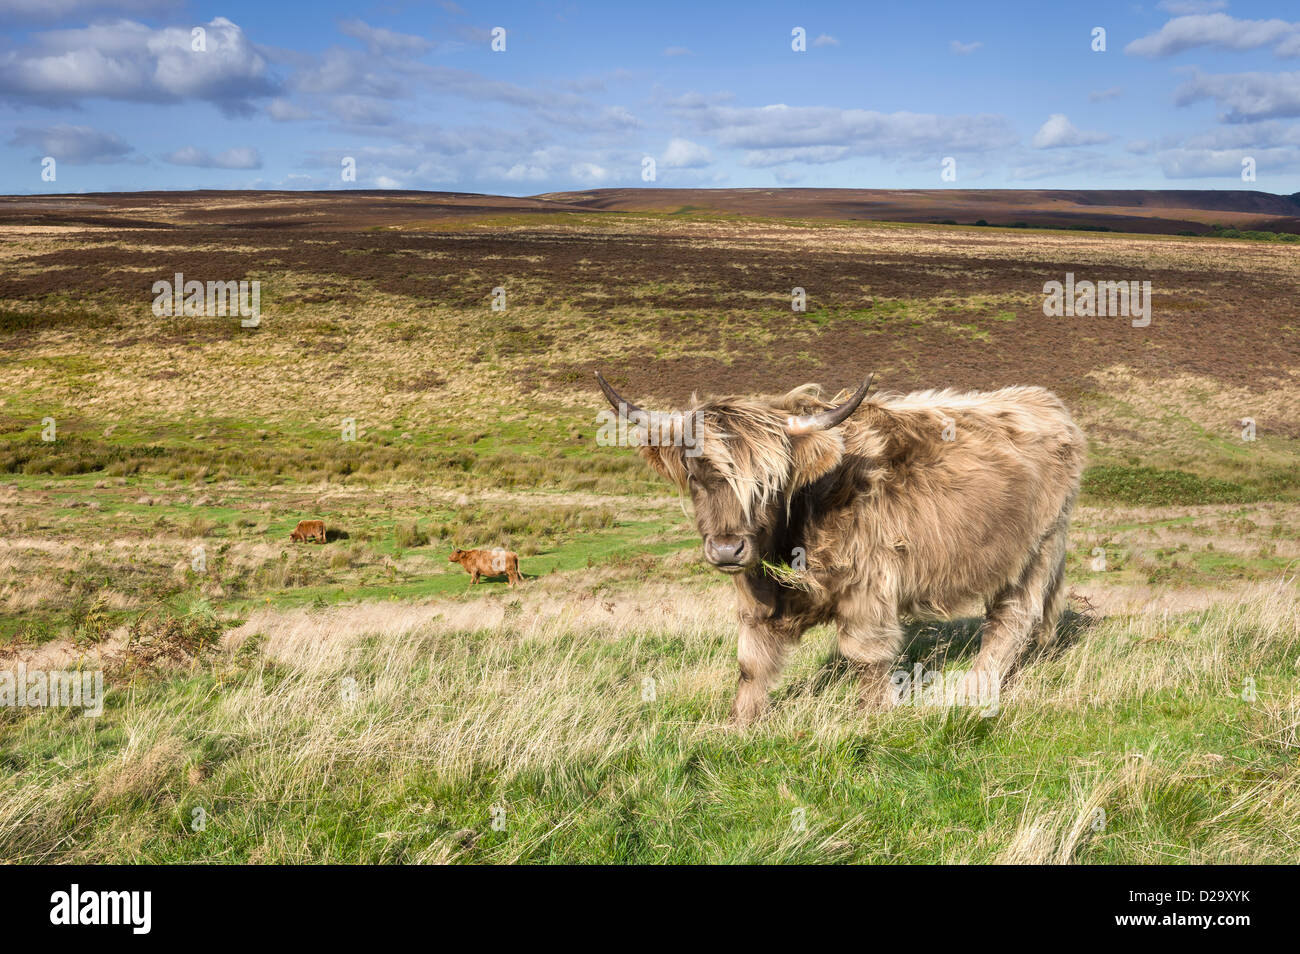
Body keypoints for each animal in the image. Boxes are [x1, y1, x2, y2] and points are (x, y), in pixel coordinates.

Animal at [596, 371, 1085, 725]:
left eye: (772, 482)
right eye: (695, 475)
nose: (727, 548)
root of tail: (1045, 402)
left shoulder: (869, 588)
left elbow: (867, 659)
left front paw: (872, 718)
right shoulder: (756, 597)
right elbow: (751, 664)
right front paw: (739, 725)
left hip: (1037, 549)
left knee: (1011, 620)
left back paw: (973, 691)